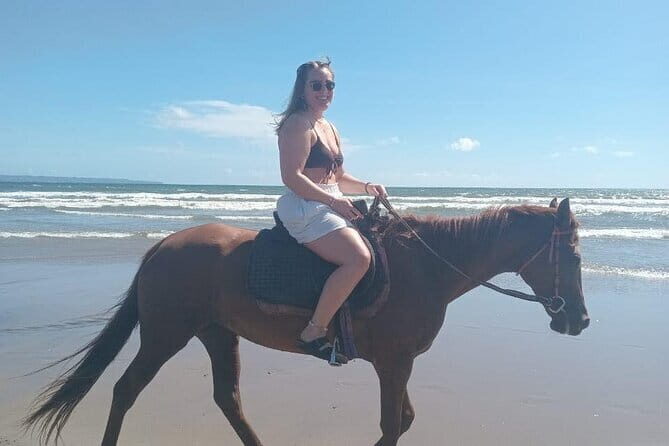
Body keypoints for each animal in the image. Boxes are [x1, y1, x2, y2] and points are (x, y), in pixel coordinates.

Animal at [24, 197, 589, 446]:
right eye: (575, 256)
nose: (581, 321)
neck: (428, 267)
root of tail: (163, 245)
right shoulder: (393, 363)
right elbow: (393, 424)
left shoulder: (398, 364)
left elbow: (404, 420)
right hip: (166, 335)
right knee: (125, 390)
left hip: (217, 334)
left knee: (228, 399)